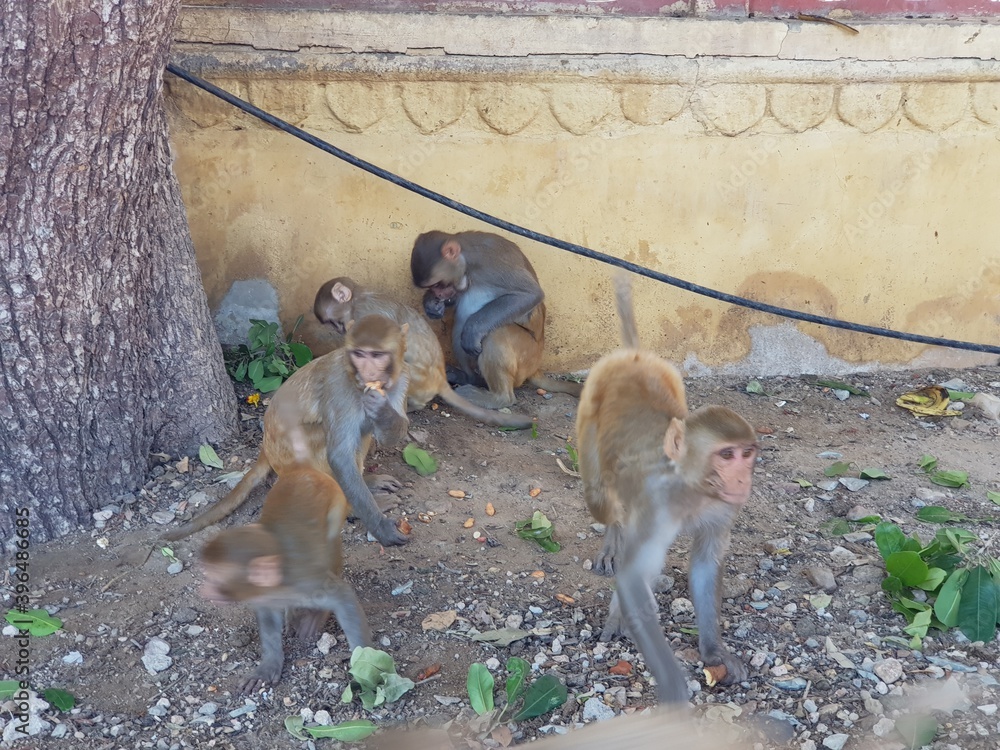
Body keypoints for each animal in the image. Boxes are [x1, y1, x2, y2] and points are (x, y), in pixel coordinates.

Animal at [162, 314, 411, 547]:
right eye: (359, 354)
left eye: (377, 355)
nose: (368, 372)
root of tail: (265, 446)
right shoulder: (339, 387)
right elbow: (339, 457)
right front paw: (381, 528)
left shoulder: (401, 379)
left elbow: (387, 435)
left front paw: (381, 409)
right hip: (285, 456)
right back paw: (352, 507)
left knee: (362, 431)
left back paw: (368, 481)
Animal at [200, 468, 372, 695]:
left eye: (216, 578)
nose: (205, 590)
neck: (278, 581)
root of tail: (307, 470)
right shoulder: (264, 594)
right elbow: (268, 617)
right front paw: (268, 665)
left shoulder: (305, 579)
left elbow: (342, 596)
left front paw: (366, 664)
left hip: (336, 501)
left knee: (329, 541)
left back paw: (315, 614)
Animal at [313, 277, 534, 430]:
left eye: (334, 322)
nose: (340, 330)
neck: (357, 299)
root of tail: (440, 377)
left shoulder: (364, 315)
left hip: (419, 380)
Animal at [409, 230, 583, 409]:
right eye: (432, 287)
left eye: (437, 284)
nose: (437, 294)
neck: (467, 260)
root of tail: (535, 366)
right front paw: (431, 304)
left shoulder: (491, 264)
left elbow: (530, 294)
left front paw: (473, 330)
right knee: (460, 323)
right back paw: (470, 378)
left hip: (527, 355)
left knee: (495, 333)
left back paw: (499, 398)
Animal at [575, 274, 758, 704]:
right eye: (727, 455)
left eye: (747, 453)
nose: (743, 479)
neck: (690, 487)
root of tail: (634, 357)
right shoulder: (656, 506)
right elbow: (634, 576)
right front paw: (675, 690)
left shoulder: (723, 507)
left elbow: (705, 564)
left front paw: (714, 651)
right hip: (590, 406)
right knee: (602, 500)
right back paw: (613, 540)